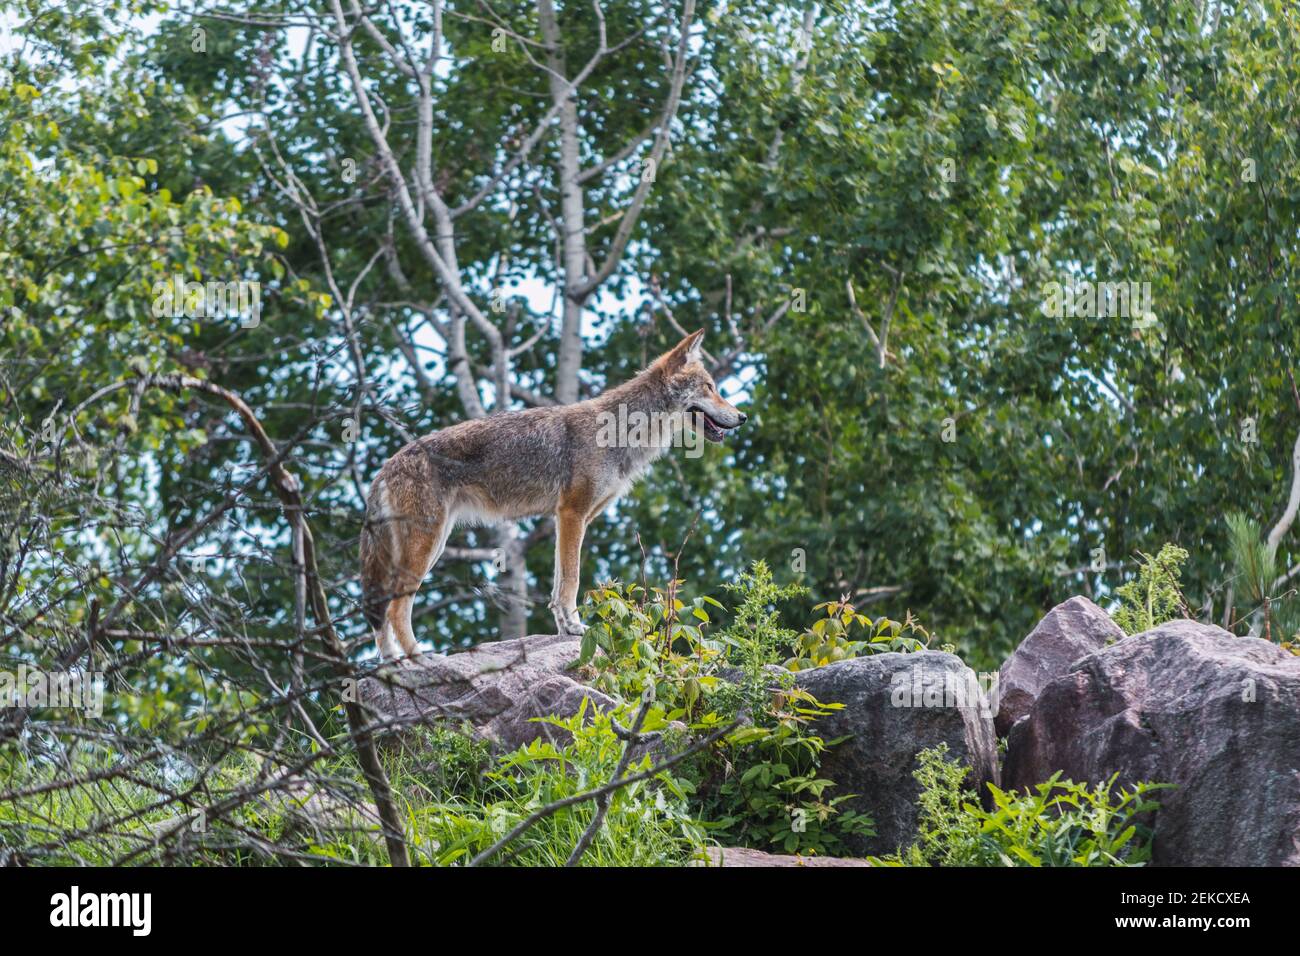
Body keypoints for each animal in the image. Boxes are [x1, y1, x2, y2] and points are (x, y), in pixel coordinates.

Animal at [360, 329, 747, 660]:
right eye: (710, 387)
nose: (742, 416)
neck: (622, 432)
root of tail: (387, 467)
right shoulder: (572, 514)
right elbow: (571, 579)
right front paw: (575, 627)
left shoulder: (575, 519)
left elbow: (560, 582)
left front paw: (563, 628)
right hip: (425, 547)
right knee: (395, 607)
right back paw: (416, 658)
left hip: (432, 546)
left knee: (382, 608)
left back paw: (391, 663)